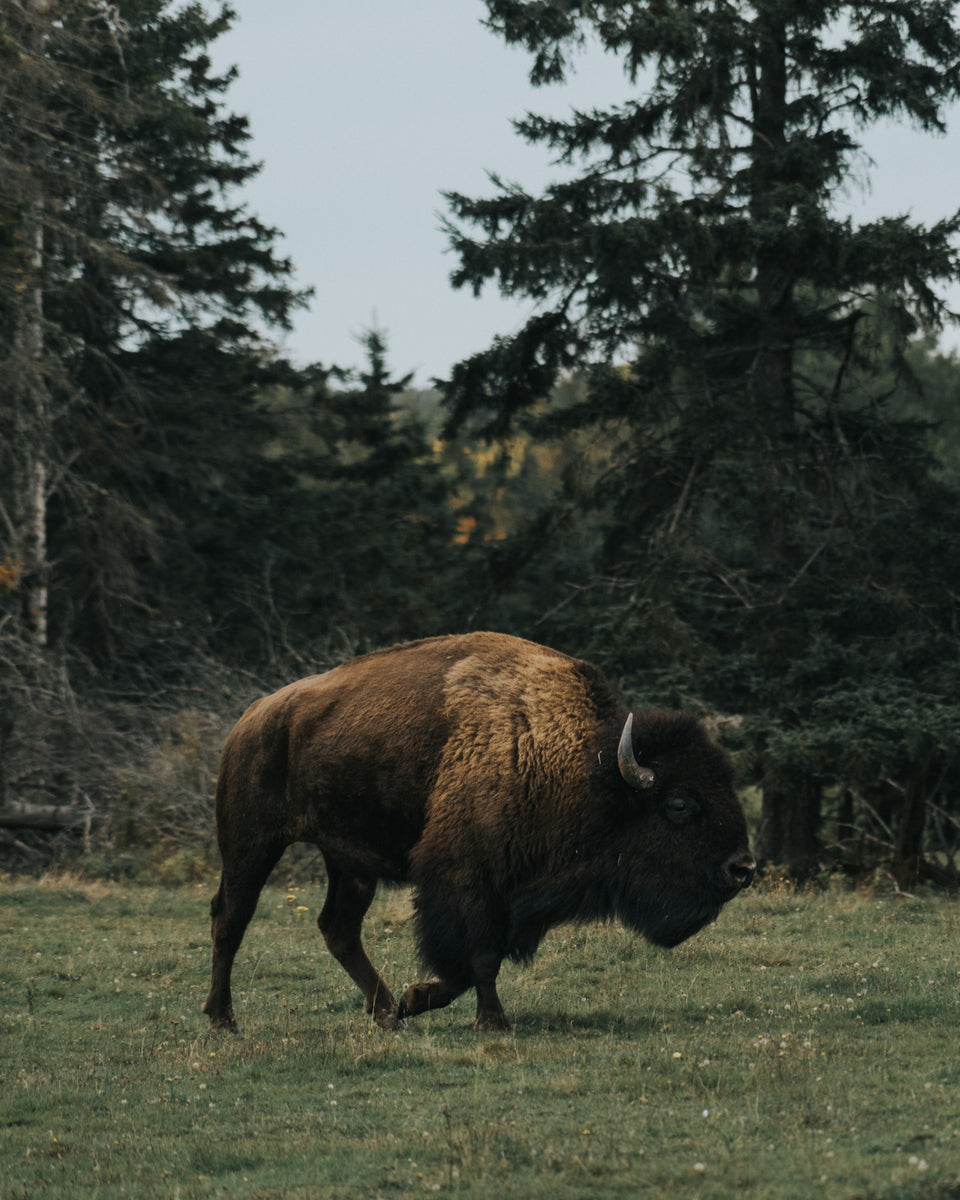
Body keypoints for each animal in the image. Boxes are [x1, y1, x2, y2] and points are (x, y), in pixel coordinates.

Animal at [203, 631, 755, 1032]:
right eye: (680, 805)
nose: (743, 868)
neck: (581, 767)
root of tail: (252, 718)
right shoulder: (467, 879)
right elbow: (479, 957)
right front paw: (491, 1022)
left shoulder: (512, 896)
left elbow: (475, 963)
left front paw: (415, 999)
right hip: (250, 844)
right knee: (231, 918)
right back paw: (223, 1019)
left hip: (348, 863)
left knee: (338, 928)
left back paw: (386, 1014)